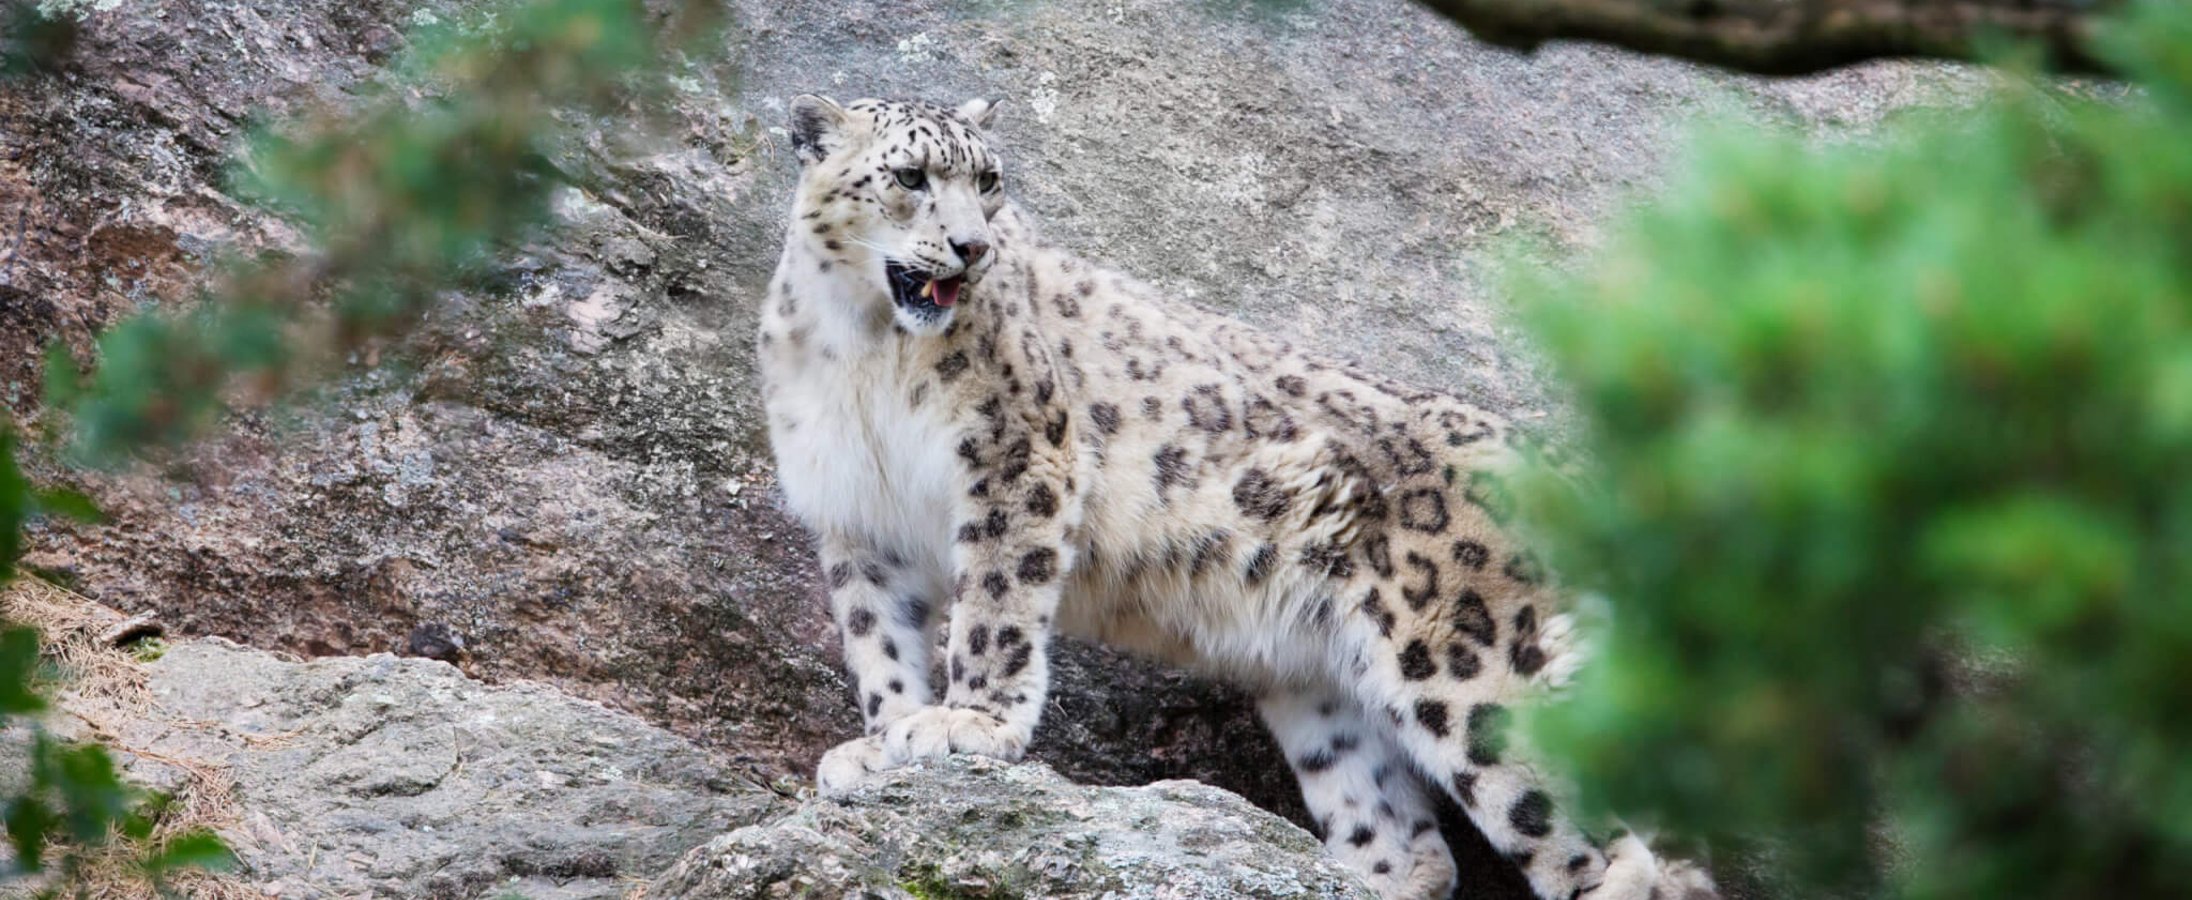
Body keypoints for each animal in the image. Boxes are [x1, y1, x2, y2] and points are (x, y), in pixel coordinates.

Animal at [756, 93, 1718, 900]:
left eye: (988, 182)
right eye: (911, 178)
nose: (971, 246)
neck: (863, 348)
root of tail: (1564, 472)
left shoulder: (1016, 457)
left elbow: (995, 603)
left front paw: (969, 724)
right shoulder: (856, 517)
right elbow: (879, 640)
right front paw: (883, 740)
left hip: (1468, 671)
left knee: (1602, 841)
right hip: (1331, 701)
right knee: (1408, 841)